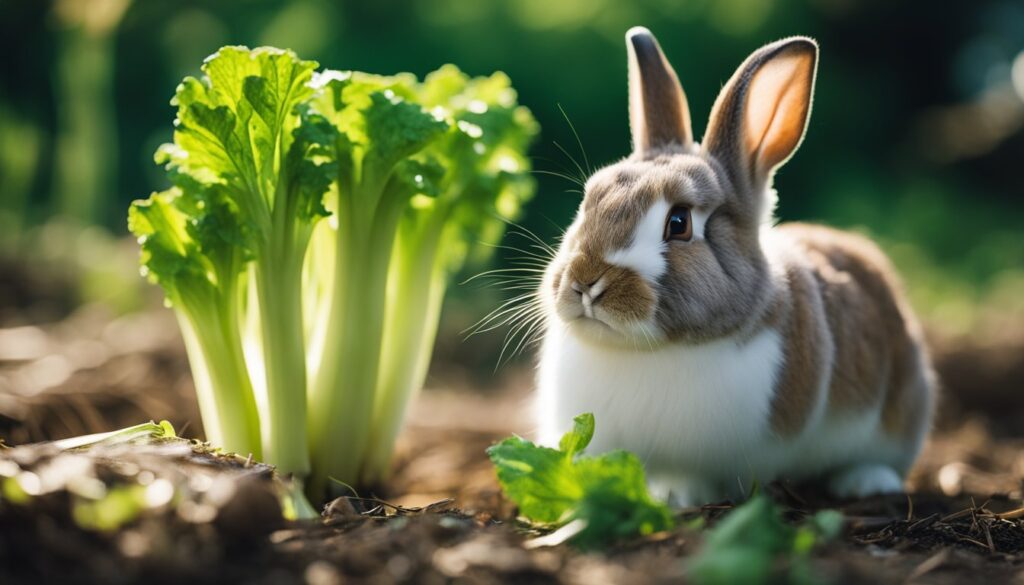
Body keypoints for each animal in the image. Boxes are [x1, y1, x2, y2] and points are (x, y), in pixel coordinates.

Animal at [534, 27, 935, 505]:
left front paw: (673, 494)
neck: (641, 350)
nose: (586, 284)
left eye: (679, 223)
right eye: (588, 202)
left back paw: (866, 482)